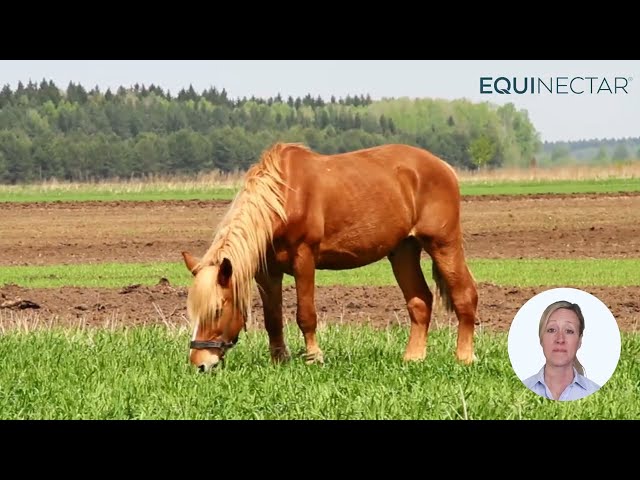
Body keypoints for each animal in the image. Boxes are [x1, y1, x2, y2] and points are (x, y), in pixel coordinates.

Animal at [181, 142, 478, 372]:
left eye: (217, 309)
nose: (200, 363)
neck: (282, 199)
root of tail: (444, 167)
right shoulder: (267, 272)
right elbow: (272, 318)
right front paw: (279, 361)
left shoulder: (304, 258)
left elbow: (306, 314)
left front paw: (314, 358)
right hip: (403, 250)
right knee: (420, 301)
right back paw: (413, 357)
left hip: (443, 242)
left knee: (464, 293)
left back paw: (464, 357)